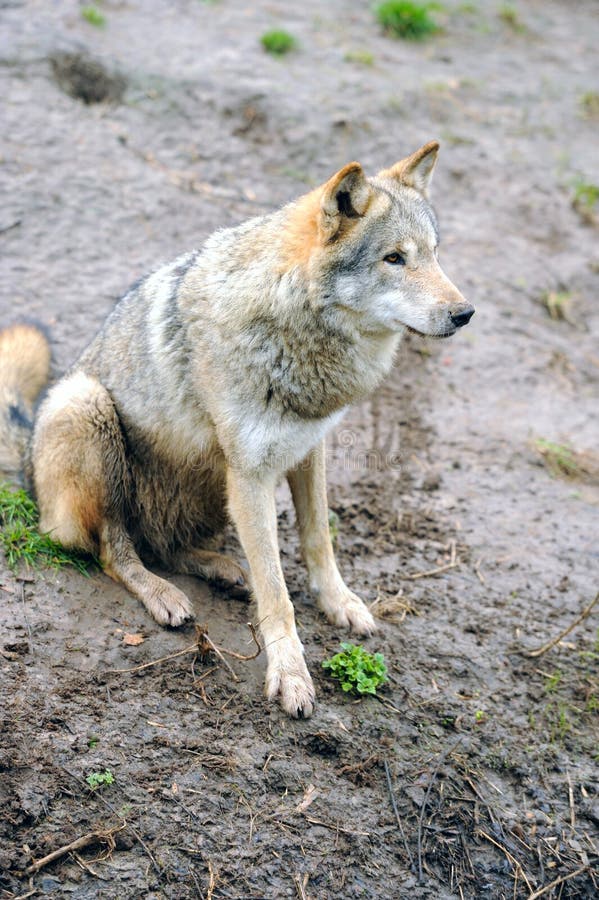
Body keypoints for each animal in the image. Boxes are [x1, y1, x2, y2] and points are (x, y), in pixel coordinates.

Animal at [0, 141, 473, 717]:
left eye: (433, 253)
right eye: (394, 259)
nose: (465, 313)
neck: (291, 325)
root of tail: (26, 459)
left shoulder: (309, 449)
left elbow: (318, 540)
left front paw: (339, 604)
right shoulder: (251, 475)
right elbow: (277, 593)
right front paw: (290, 675)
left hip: (208, 488)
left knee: (166, 545)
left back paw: (222, 569)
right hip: (87, 408)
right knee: (115, 550)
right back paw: (163, 595)